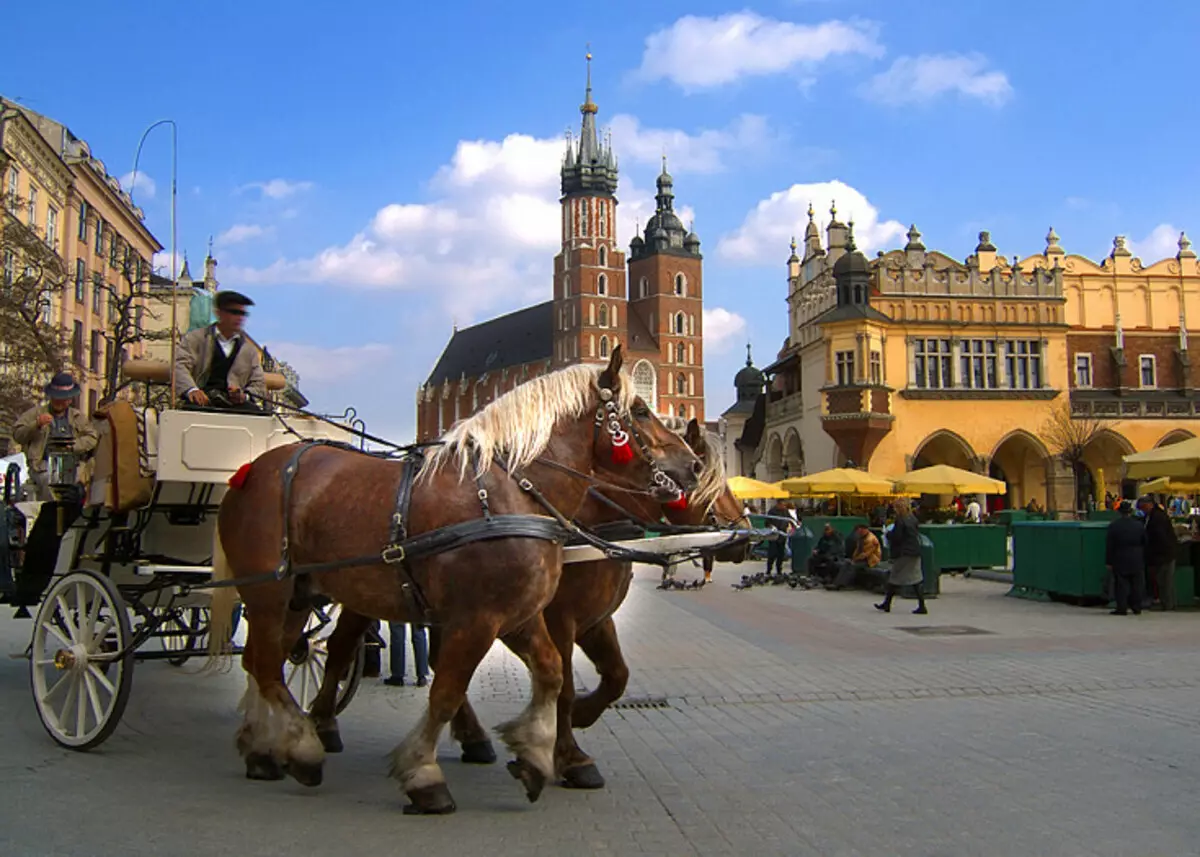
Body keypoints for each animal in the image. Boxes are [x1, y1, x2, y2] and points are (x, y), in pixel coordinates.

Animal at [201, 343, 700, 811]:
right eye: (640, 410)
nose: (693, 465)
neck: (512, 493)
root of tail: (250, 469)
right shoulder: (478, 619)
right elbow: (446, 690)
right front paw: (424, 776)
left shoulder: (519, 615)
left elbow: (552, 674)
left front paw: (533, 757)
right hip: (268, 591)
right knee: (271, 664)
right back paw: (302, 747)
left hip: (300, 593)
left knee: (266, 660)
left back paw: (262, 749)